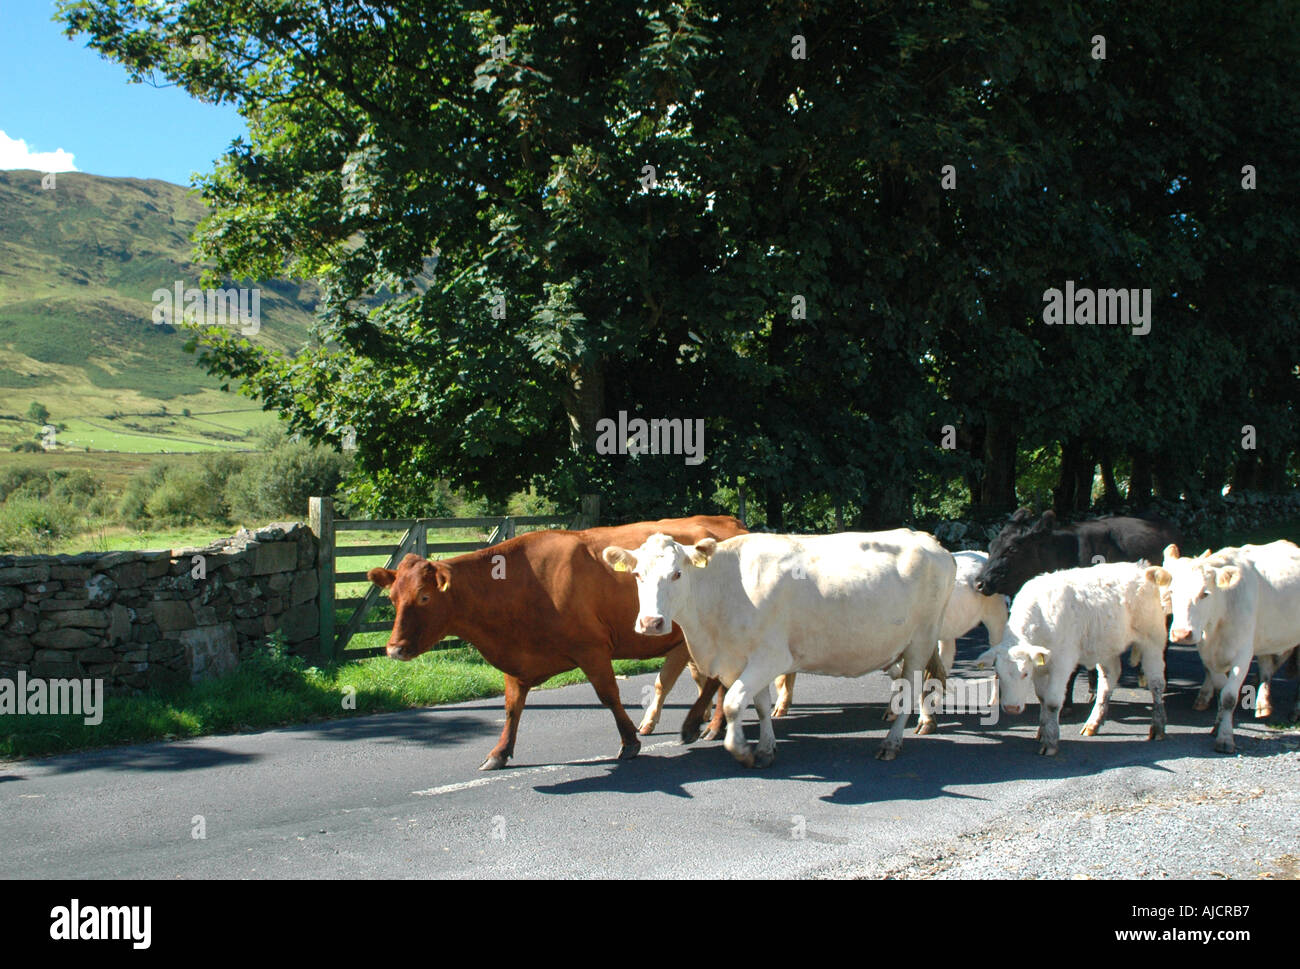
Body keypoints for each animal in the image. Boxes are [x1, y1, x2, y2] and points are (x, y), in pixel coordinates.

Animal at [367, 515, 746, 770]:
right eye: (393, 598)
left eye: (425, 597)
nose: (393, 649)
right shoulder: (516, 659)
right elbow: (511, 707)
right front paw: (499, 753)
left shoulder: (591, 648)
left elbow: (609, 695)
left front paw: (629, 742)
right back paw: (708, 724)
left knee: (718, 680)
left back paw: (707, 726)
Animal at [601, 530, 955, 766]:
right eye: (637, 574)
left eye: (676, 574)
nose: (651, 622)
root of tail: (928, 540)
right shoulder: (746, 658)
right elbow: (758, 705)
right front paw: (766, 748)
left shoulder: (770, 657)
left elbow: (733, 703)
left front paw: (742, 751)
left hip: (921, 639)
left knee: (913, 685)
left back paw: (892, 742)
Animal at [976, 561, 1170, 755]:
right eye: (999, 675)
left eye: (1025, 674)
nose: (1011, 708)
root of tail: (1141, 568)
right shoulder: (1040, 668)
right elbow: (1042, 698)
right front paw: (1042, 731)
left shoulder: (1062, 663)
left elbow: (1052, 701)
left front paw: (1050, 741)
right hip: (1105, 646)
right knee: (1109, 677)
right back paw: (1093, 723)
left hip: (1152, 639)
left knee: (1156, 683)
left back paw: (1158, 727)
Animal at [1148, 541, 1300, 753]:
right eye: (1172, 591)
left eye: (1205, 593)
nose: (1181, 634)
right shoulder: (1207, 652)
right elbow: (1221, 689)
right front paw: (1217, 726)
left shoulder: (1243, 654)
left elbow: (1229, 697)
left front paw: (1225, 738)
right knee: (1266, 666)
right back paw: (1262, 704)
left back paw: (1295, 710)